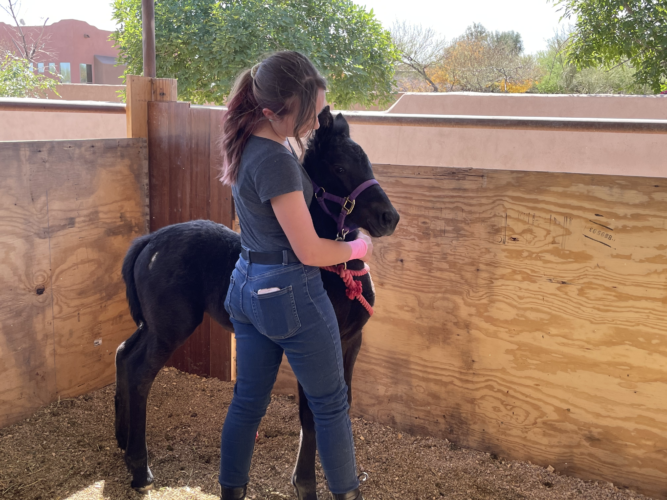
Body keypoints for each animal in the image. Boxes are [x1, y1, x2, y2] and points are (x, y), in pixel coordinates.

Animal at [114, 106, 400, 499]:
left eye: (367, 161)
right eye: (340, 167)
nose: (390, 217)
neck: (334, 268)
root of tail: (149, 241)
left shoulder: (349, 341)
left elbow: (342, 403)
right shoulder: (313, 345)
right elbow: (310, 413)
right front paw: (305, 484)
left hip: (154, 325)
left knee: (124, 354)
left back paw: (124, 446)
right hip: (170, 328)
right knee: (141, 373)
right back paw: (141, 469)